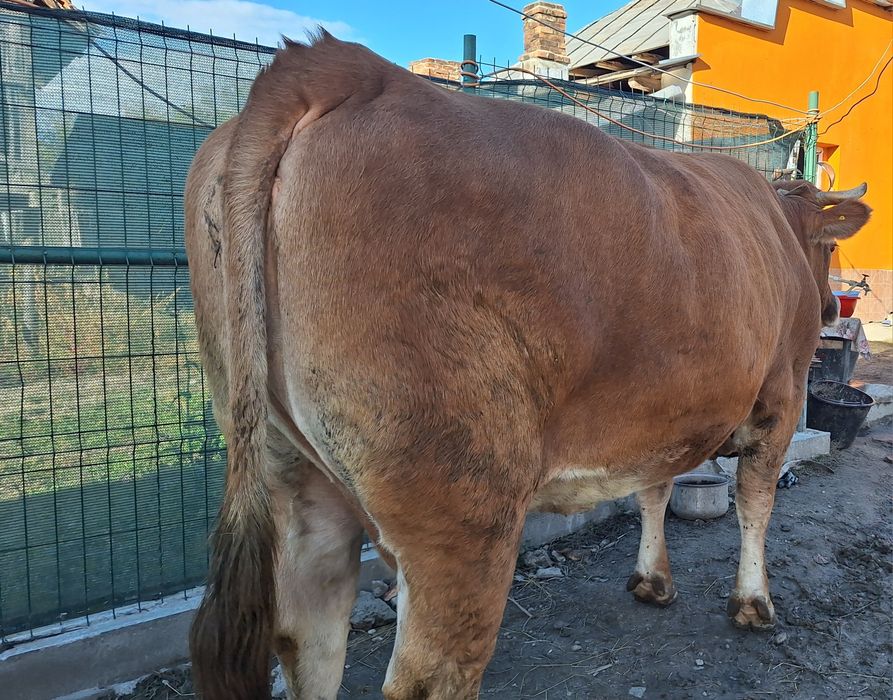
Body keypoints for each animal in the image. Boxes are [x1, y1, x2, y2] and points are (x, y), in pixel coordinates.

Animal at [183, 31, 870, 700]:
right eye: (827, 247)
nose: (831, 303)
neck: (779, 227)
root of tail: (338, 67)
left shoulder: (666, 413)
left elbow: (654, 487)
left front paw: (651, 580)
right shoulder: (780, 393)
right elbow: (756, 503)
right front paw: (754, 603)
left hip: (289, 473)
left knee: (307, 636)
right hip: (463, 499)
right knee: (433, 671)